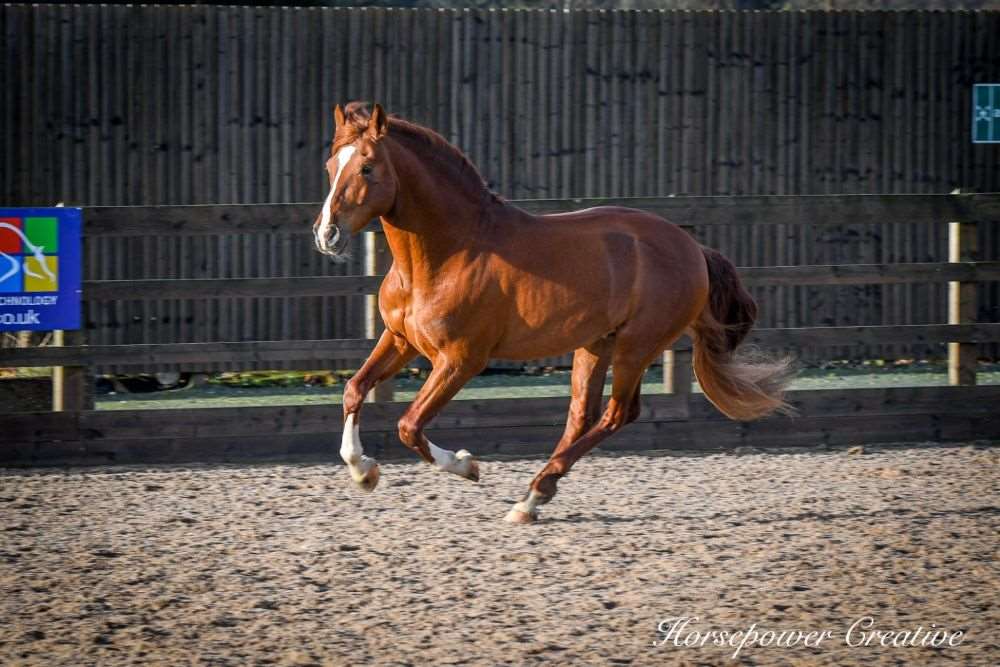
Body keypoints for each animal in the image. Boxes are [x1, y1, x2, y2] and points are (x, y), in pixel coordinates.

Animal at [314, 102, 792, 524]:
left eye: (368, 168)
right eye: (330, 166)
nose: (326, 235)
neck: (448, 254)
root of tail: (692, 247)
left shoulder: (460, 361)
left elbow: (409, 426)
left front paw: (468, 465)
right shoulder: (400, 339)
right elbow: (354, 390)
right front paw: (363, 472)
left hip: (636, 346)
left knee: (618, 413)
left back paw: (534, 494)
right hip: (596, 345)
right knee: (581, 416)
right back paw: (532, 498)